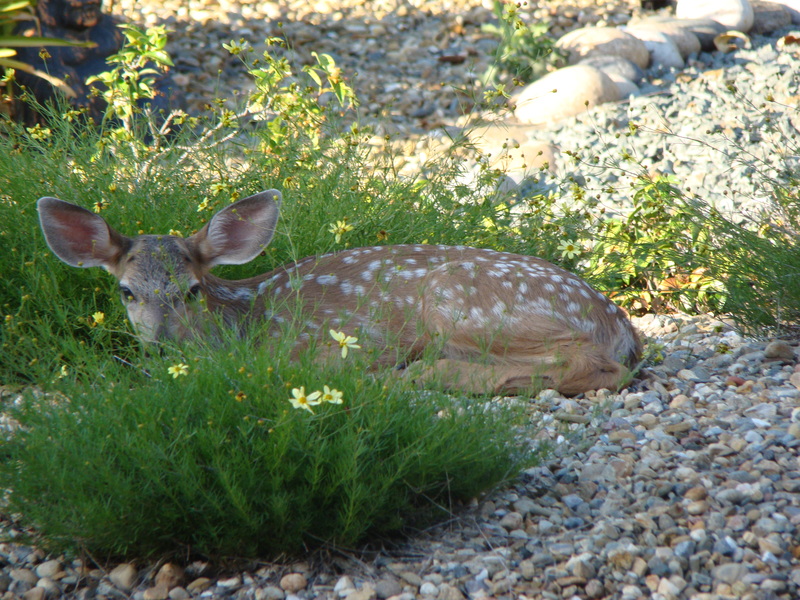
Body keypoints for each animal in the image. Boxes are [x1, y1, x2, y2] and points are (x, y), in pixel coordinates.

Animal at [37, 190, 642, 395]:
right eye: (125, 292)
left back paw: (425, 374)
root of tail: (619, 321)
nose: (160, 346)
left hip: (466, 305)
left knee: (593, 364)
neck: (237, 323)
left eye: (190, 291)